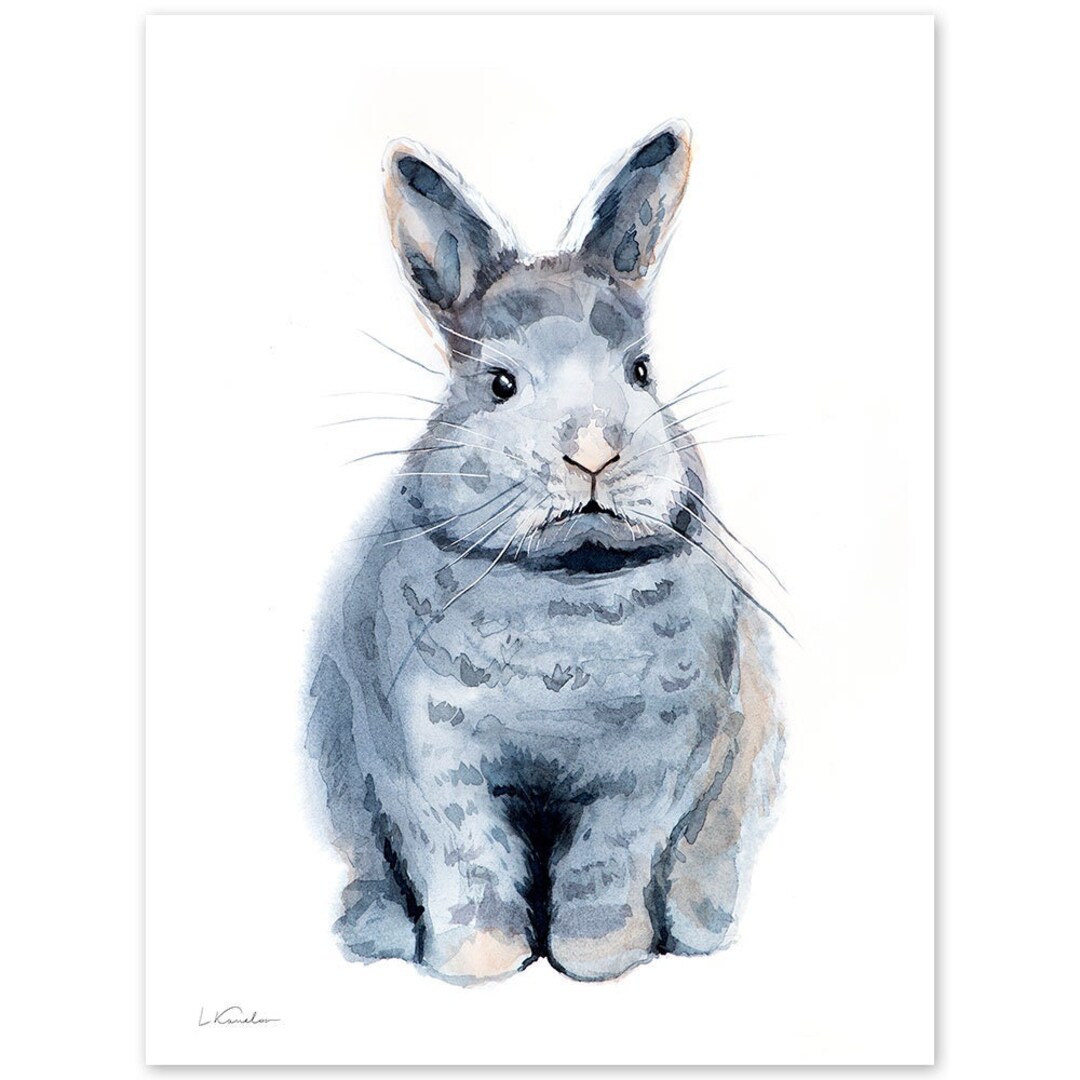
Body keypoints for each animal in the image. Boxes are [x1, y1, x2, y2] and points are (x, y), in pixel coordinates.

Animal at [307, 120, 785, 985]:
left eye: (643, 372)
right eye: (499, 384)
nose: (593, 453)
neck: (569, 575)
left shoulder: (650, 772)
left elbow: (606, 864)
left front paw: (600, 959)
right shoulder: (428, 761)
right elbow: (467, 862)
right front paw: (482, 966)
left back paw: (700, 930)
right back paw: (374, 935)